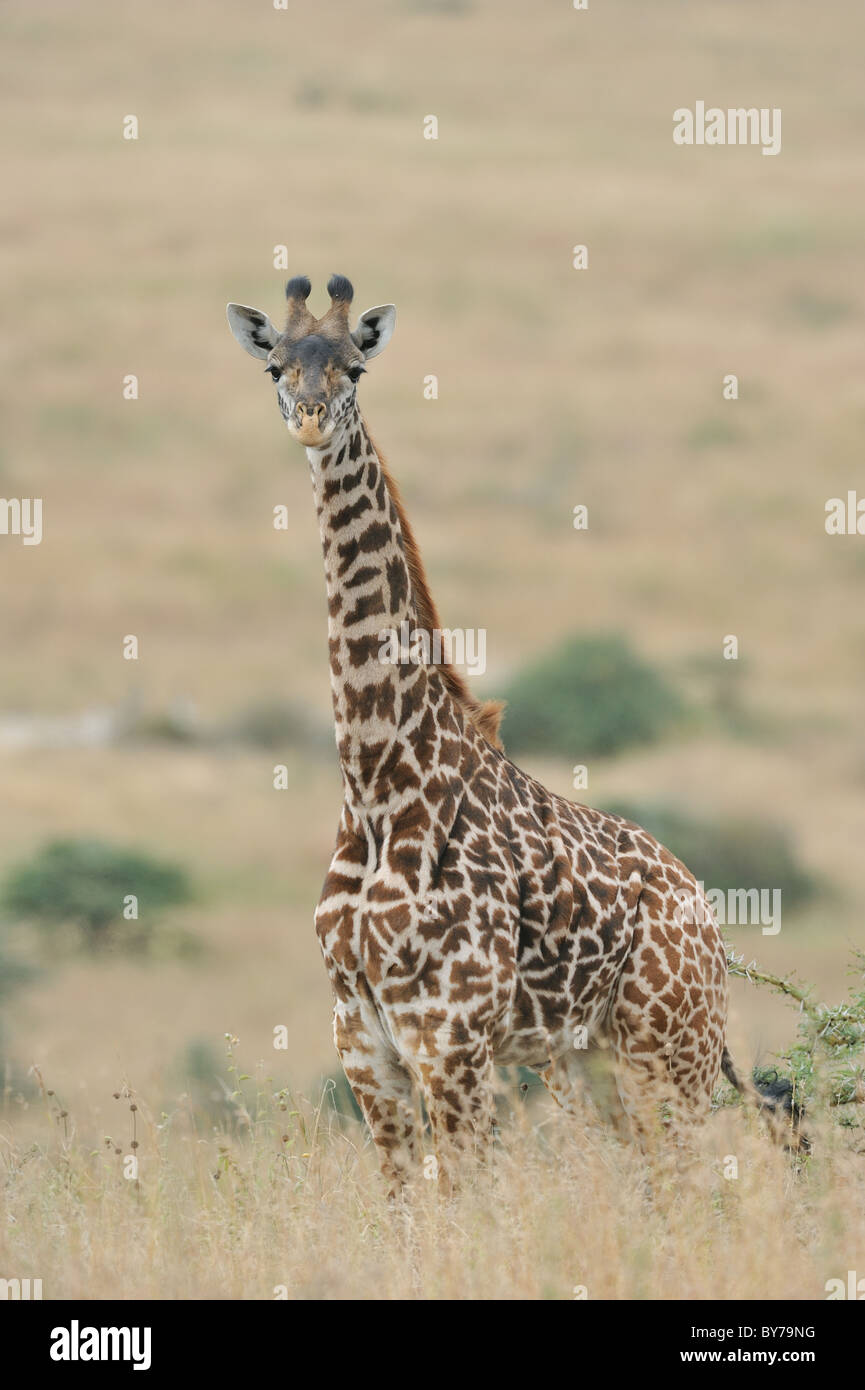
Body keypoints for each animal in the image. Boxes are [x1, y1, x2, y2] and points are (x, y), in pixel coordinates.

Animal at [226, 274, 798, 1189]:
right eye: (276, 364)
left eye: (355, 366)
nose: (310, 417)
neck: (379, 780)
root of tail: (707, 914)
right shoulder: (363, 1044)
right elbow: (404, 1207)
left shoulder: (450, 1038)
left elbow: (463, 1199)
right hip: (583, 1064)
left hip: (670, 1049)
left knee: (692, 1178)